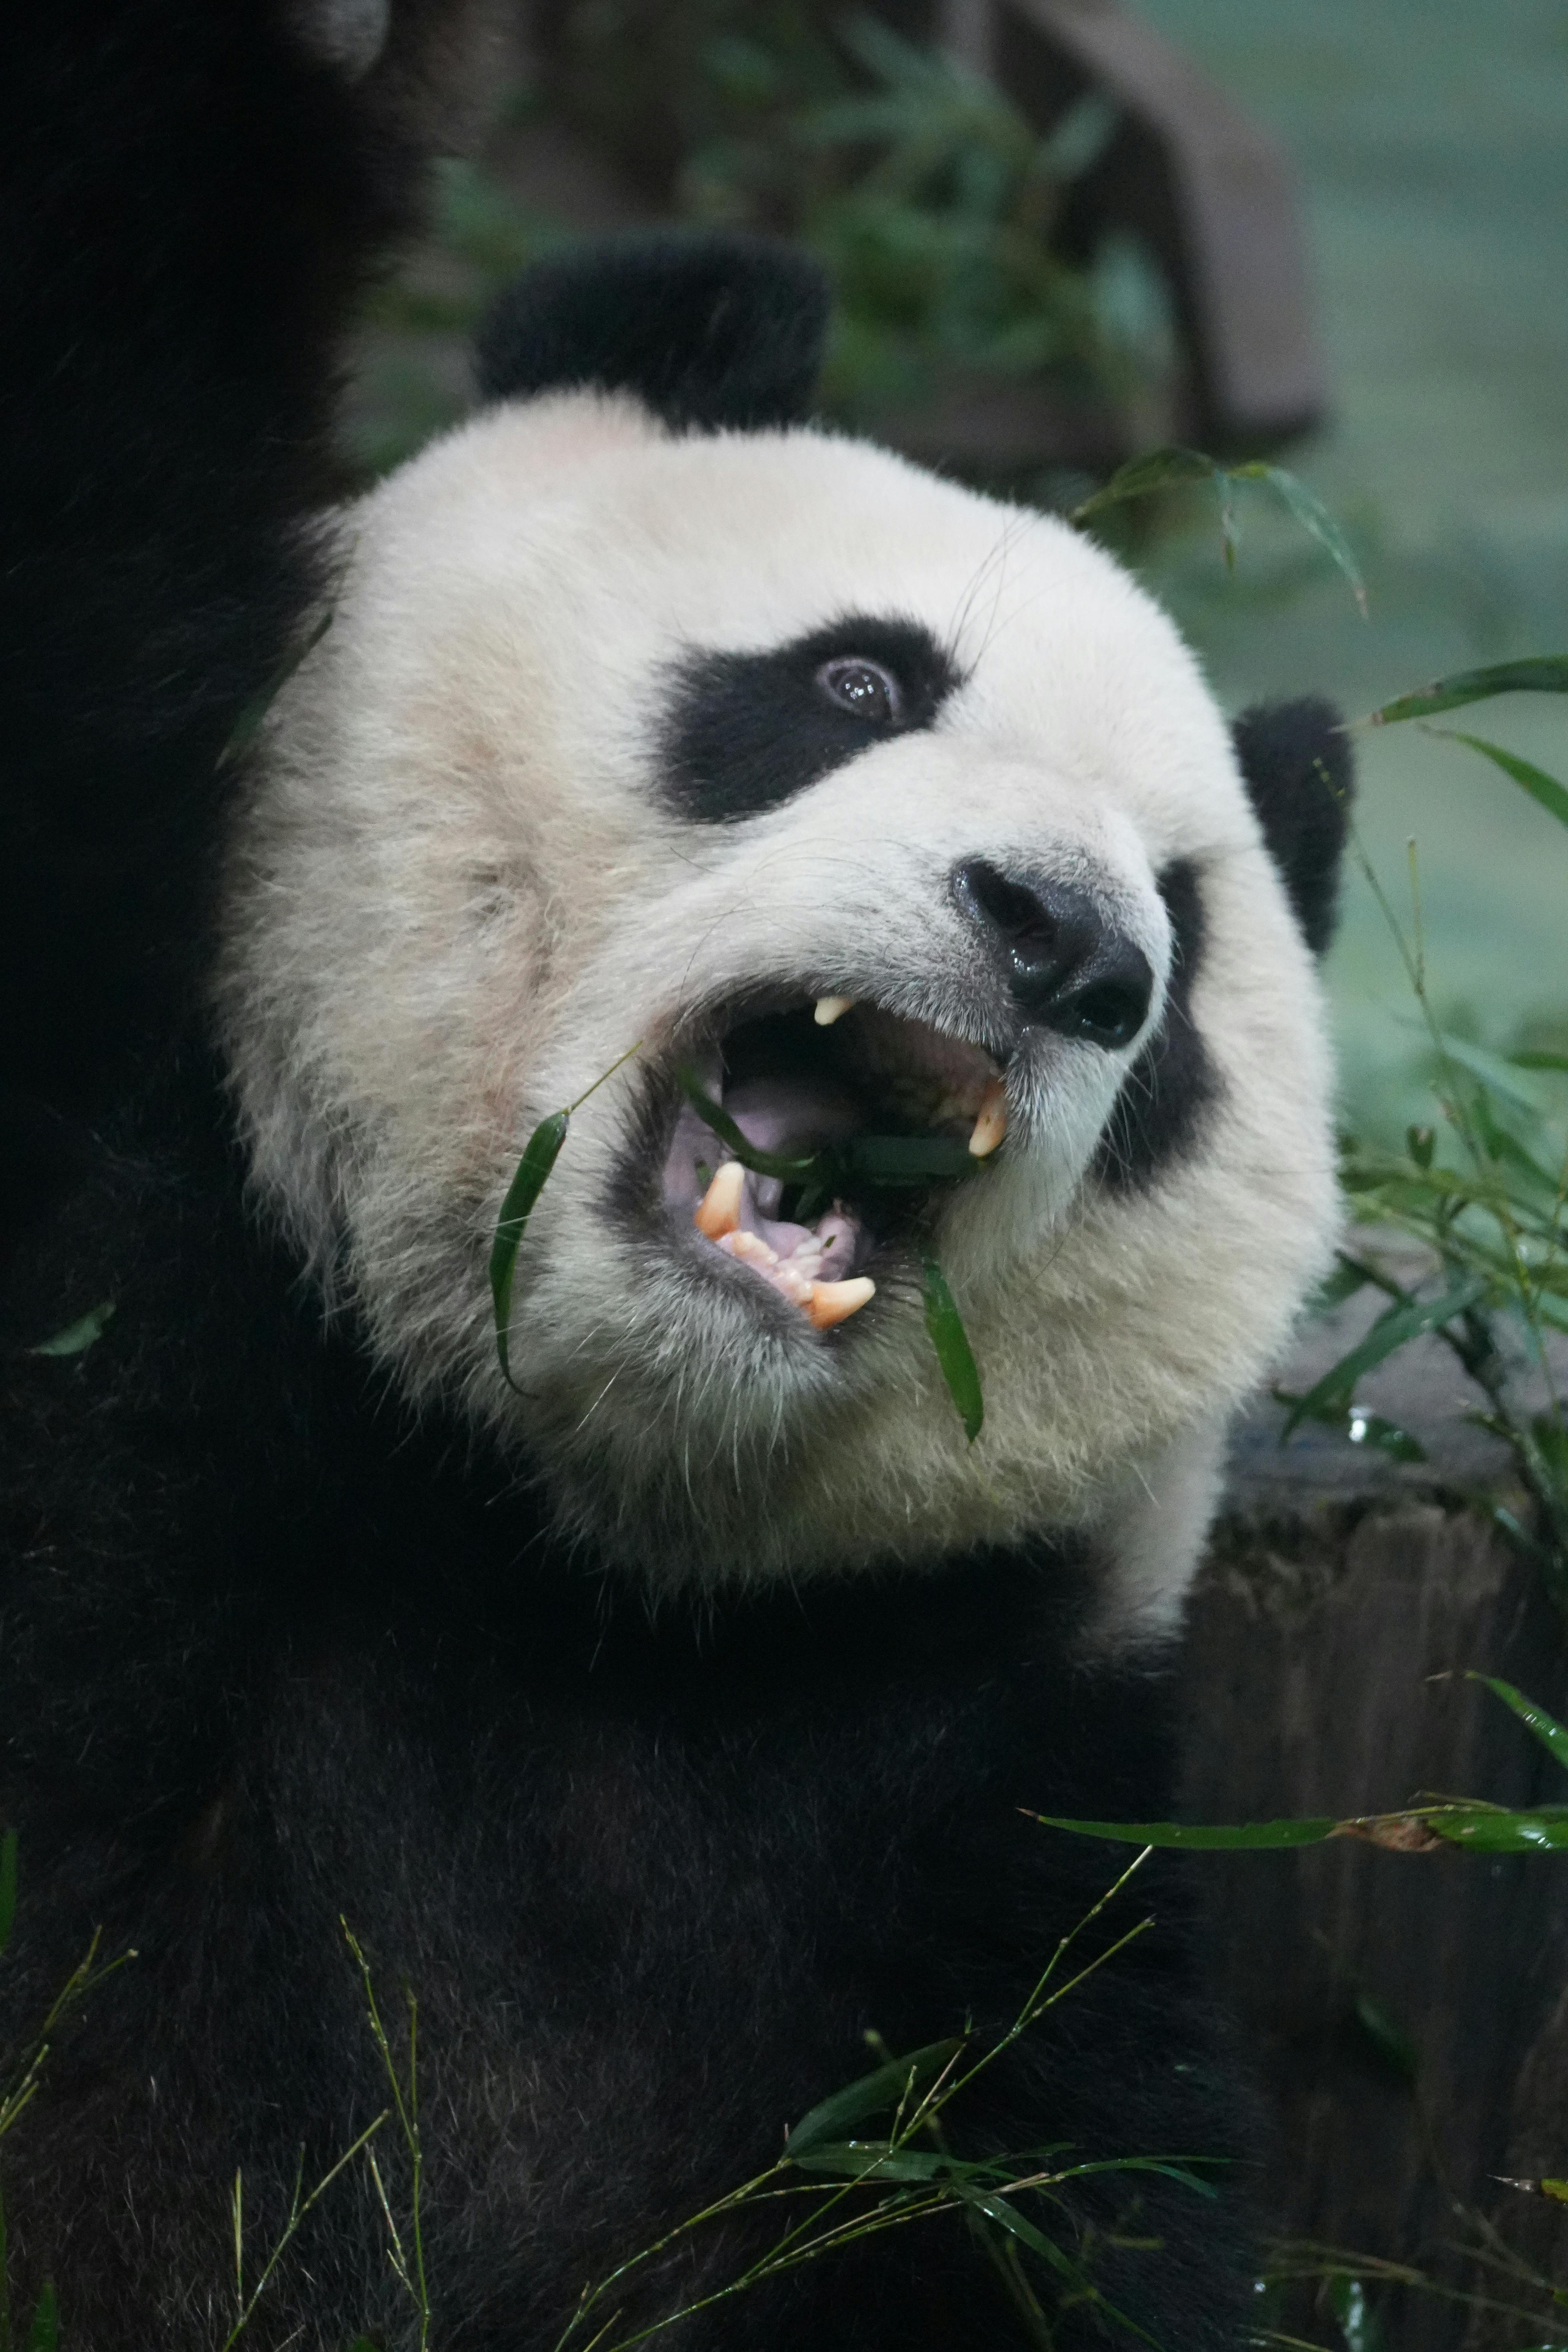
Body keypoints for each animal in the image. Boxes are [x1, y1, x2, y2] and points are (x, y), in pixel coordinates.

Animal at [1, 41, 1353, 2349]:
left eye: (1178, 943)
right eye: (855, 684)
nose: (1064, 943)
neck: (572, 1560)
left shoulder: (974, 1853)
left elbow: (1028, 2218)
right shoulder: (115, 1269)